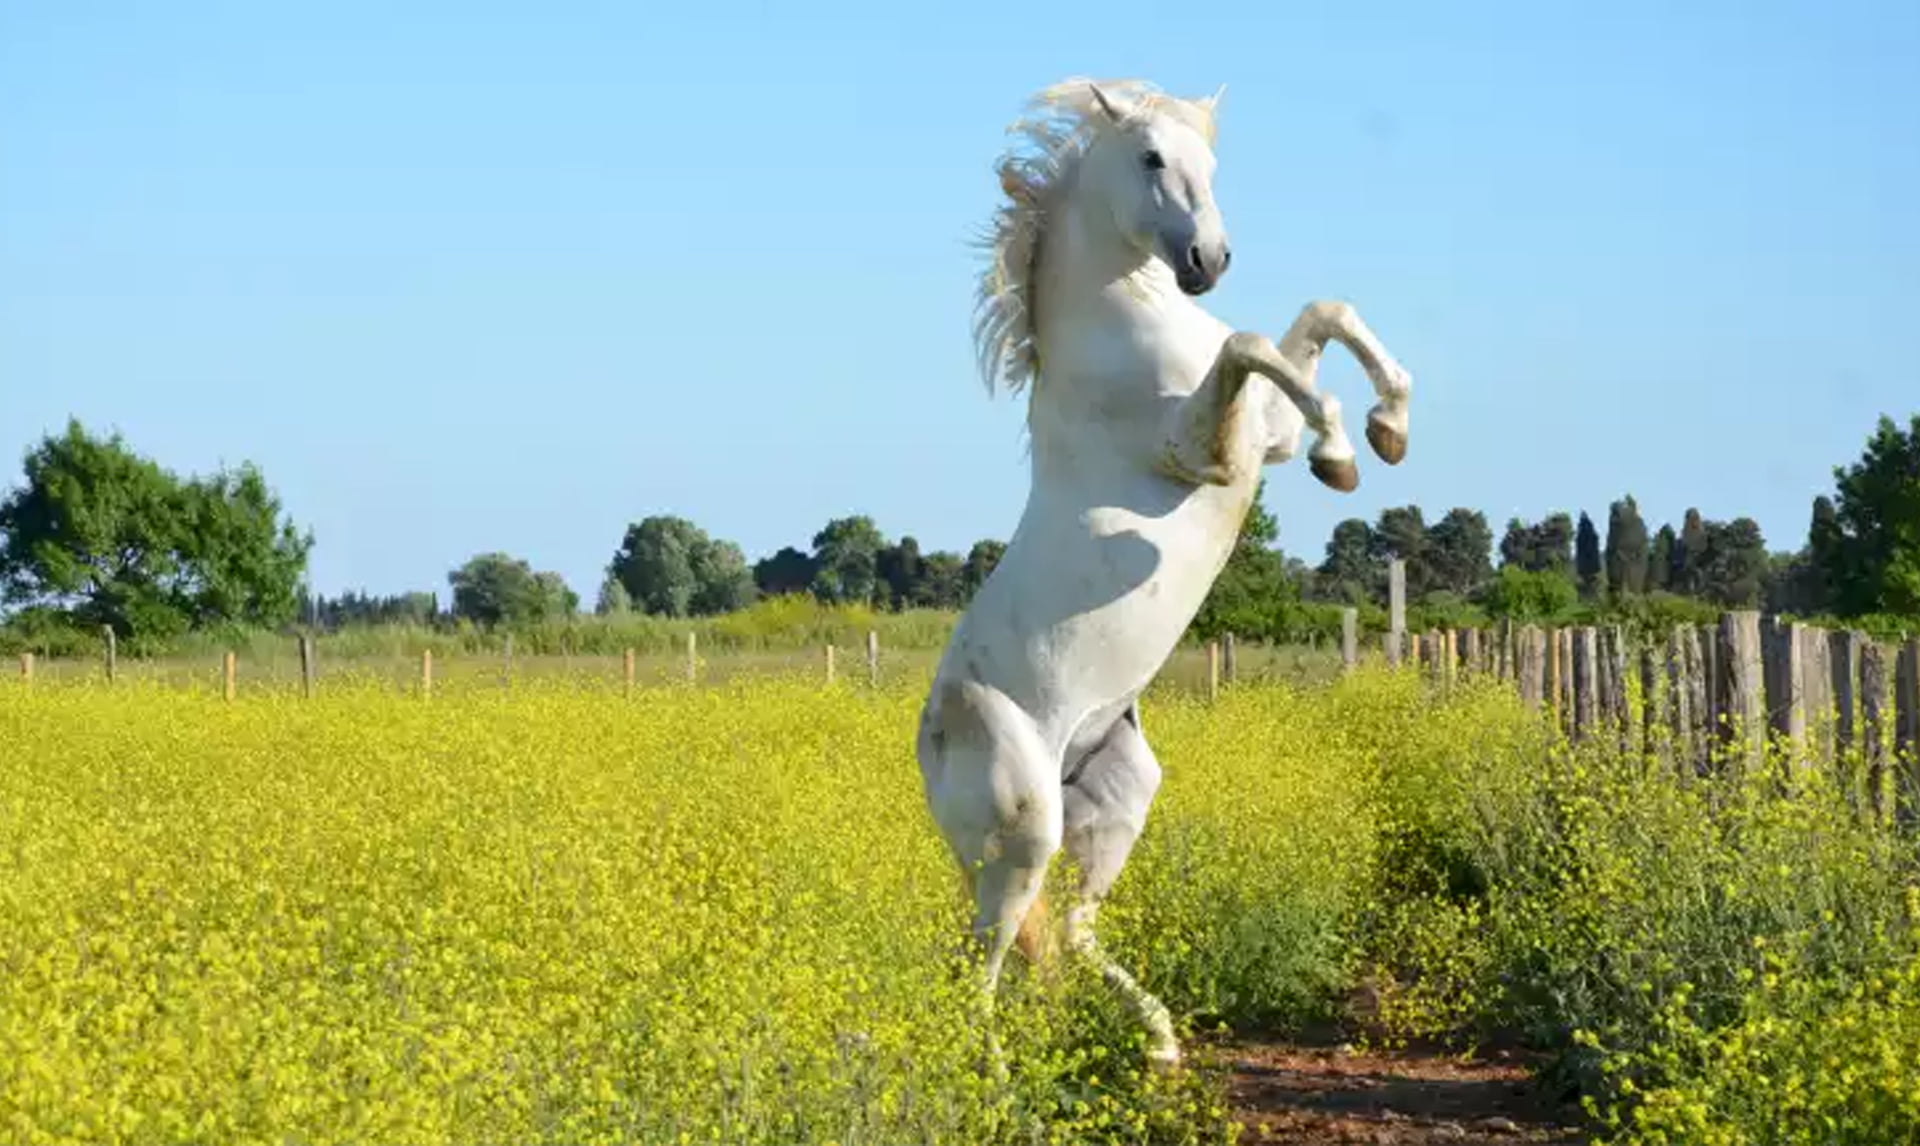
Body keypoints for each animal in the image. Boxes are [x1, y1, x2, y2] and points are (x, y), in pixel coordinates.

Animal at [914, 77, 1414, 1069]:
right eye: (1150, 158)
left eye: (1210, 161)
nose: (1207, 261)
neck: (1122, 324)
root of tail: (927, 741)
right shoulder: (1207, 453)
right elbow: (1255, 344)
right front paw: (1348, 444)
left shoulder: (1262, 437)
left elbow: (1319, 320)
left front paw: (1378, 435)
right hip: (1022, 834)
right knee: (984, 958)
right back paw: (995, 1077)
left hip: (1116, 802)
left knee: (1068, 933)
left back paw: (1161, 1044)